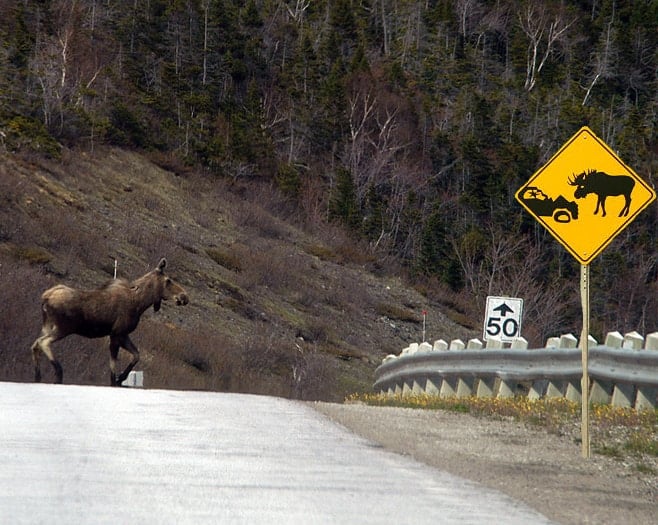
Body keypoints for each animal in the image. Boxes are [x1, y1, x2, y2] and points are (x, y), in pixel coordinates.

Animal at [31, 258, 188, 386]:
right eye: (168, 280)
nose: (184, 297)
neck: (140, 303)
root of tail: (45, 297)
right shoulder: (116, 334)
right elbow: (113, 366)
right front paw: (116, 380)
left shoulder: (123, 334)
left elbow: (136, 355)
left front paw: (121, 378)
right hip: (63, 328)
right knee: (43, 342)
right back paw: (58, 373)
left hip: (47, 326)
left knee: (35, 344)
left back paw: (38, 377)